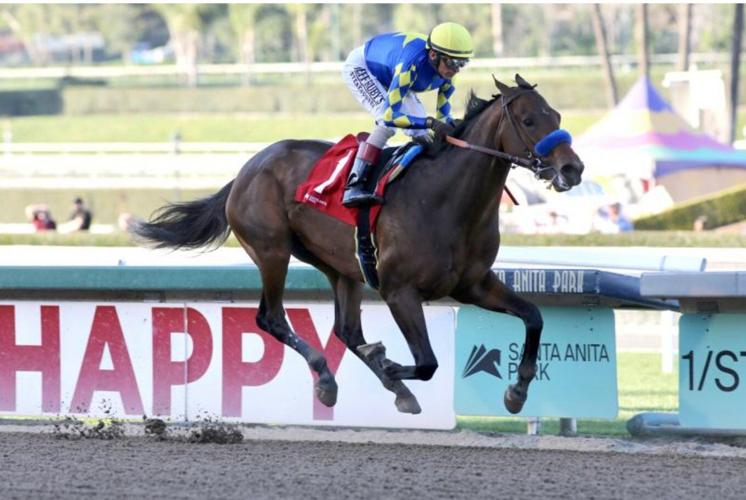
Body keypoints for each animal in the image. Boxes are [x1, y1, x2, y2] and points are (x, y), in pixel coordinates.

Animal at [133, 74, 584, 416]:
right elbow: (427, 363)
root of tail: (247, 169)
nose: (572, 169)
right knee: (271, 317)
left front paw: (517, 391)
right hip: (272, 250)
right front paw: (389, 364)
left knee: (347, 329)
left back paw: (379, 383)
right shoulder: (399, 290)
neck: (448, 201)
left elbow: (533, 317)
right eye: (528, 119)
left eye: (557, 115)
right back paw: (328, 379)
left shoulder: (473, 285)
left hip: (339, 266)